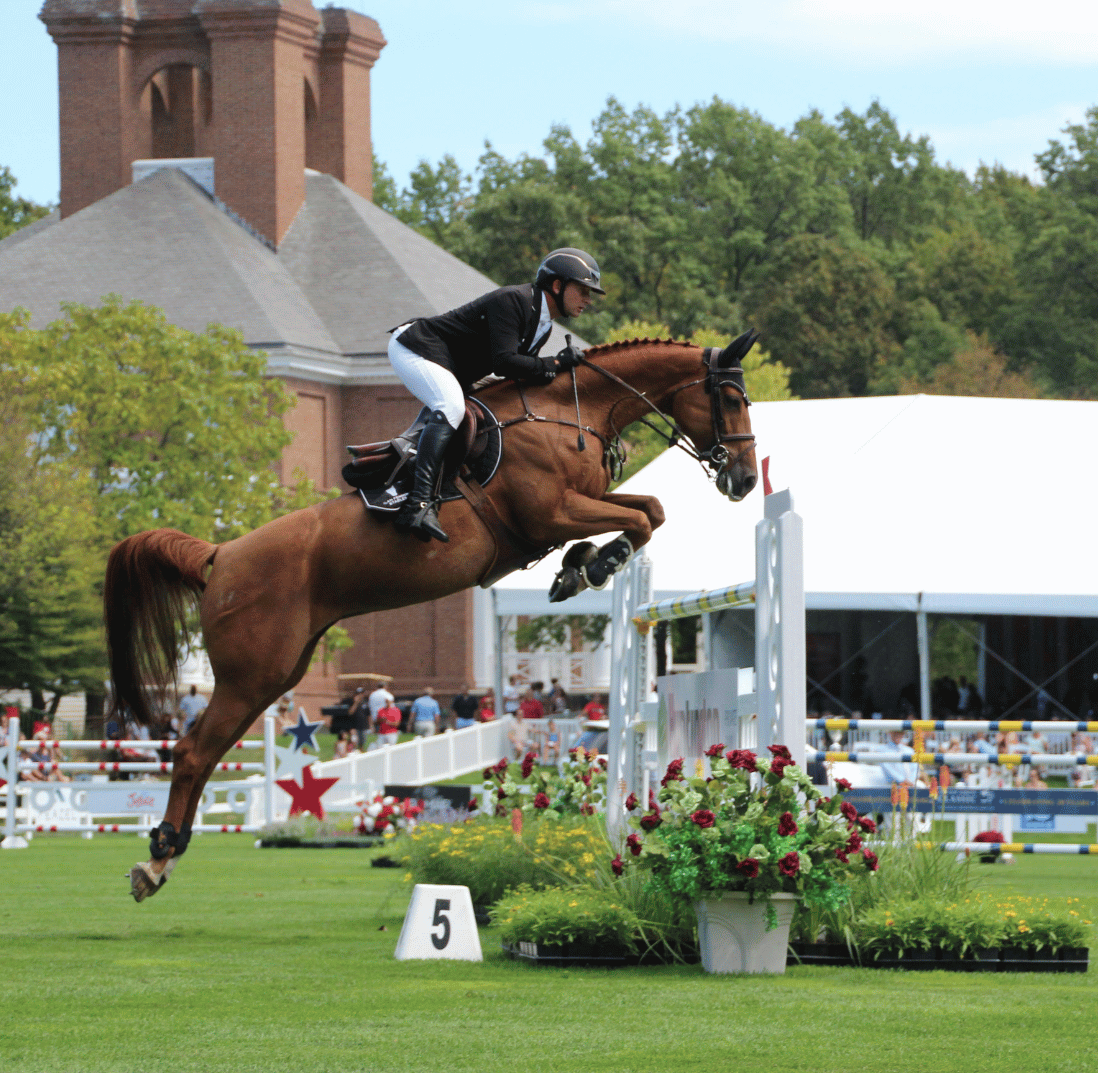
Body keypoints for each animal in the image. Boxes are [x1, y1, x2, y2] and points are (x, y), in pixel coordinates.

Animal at [104, 334, 759, 900]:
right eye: (728, 398)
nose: (746, 479)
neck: (568, 413)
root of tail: (219, 554)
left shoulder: (581, 505)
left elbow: (649, 508)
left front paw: (580, 567)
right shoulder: (553, 512)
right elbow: (644, 516)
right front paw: (594, 564)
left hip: (274, 676)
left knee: (208, 754)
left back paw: (165, 855)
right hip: (252, 674)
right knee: (193, 753)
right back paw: (154, 861)